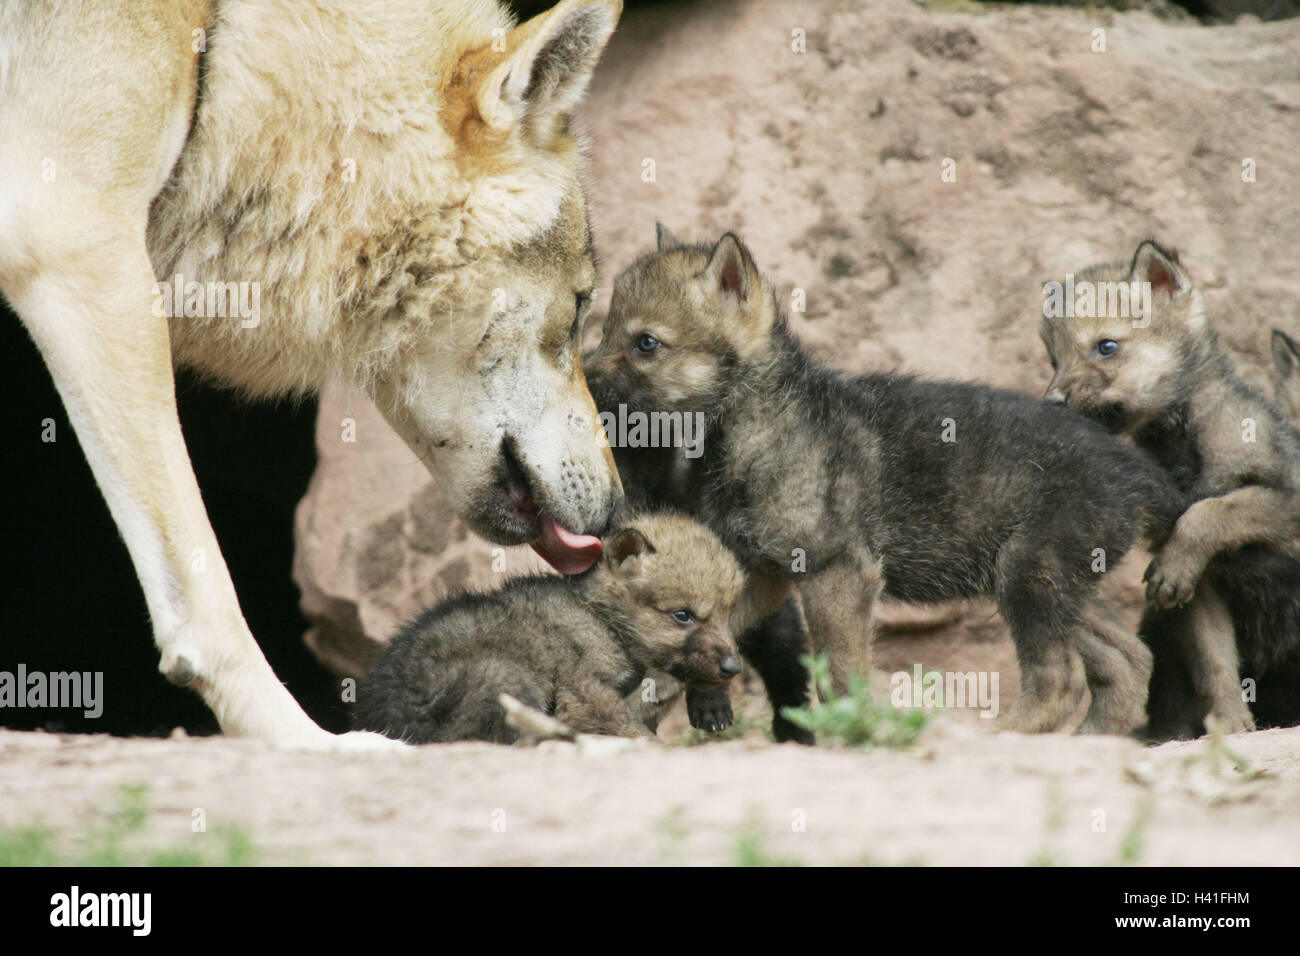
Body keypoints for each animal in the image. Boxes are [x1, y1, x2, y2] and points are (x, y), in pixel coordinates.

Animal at [0, 0, 625, 748]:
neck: (227, 44)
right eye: (584, 304)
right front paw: (302, 740)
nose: (619, 510)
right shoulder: (76, 245)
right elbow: (206, 595)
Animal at [356, 513, 746, 743]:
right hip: (503, 676)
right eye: (683, 615)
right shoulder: (583, 691)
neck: (602, 619)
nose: (734, 668)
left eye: (728, 613)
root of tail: (386, 721)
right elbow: (631, 730)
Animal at [587, 227, 1190, 735]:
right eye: (608, 331)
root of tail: (1134, 467)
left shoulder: (836, 570)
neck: (752, 424)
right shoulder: (761, 571)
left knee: (1059, 681)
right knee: (1126, 660)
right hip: (1059, 584)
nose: (583, 381)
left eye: (645, 343)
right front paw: (700, 692)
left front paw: (850, 732)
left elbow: (840, 675)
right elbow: (713, 630)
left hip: (1032, 576)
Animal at [1042, 241, 1300, 736]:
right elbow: (1215, 661)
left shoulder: (1287, 502)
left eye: (1106, 347)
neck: (1184, 443)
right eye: (1054, 361)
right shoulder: (1203, 585)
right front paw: (1231, 725)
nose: (1052, 403)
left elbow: (1217, 510)